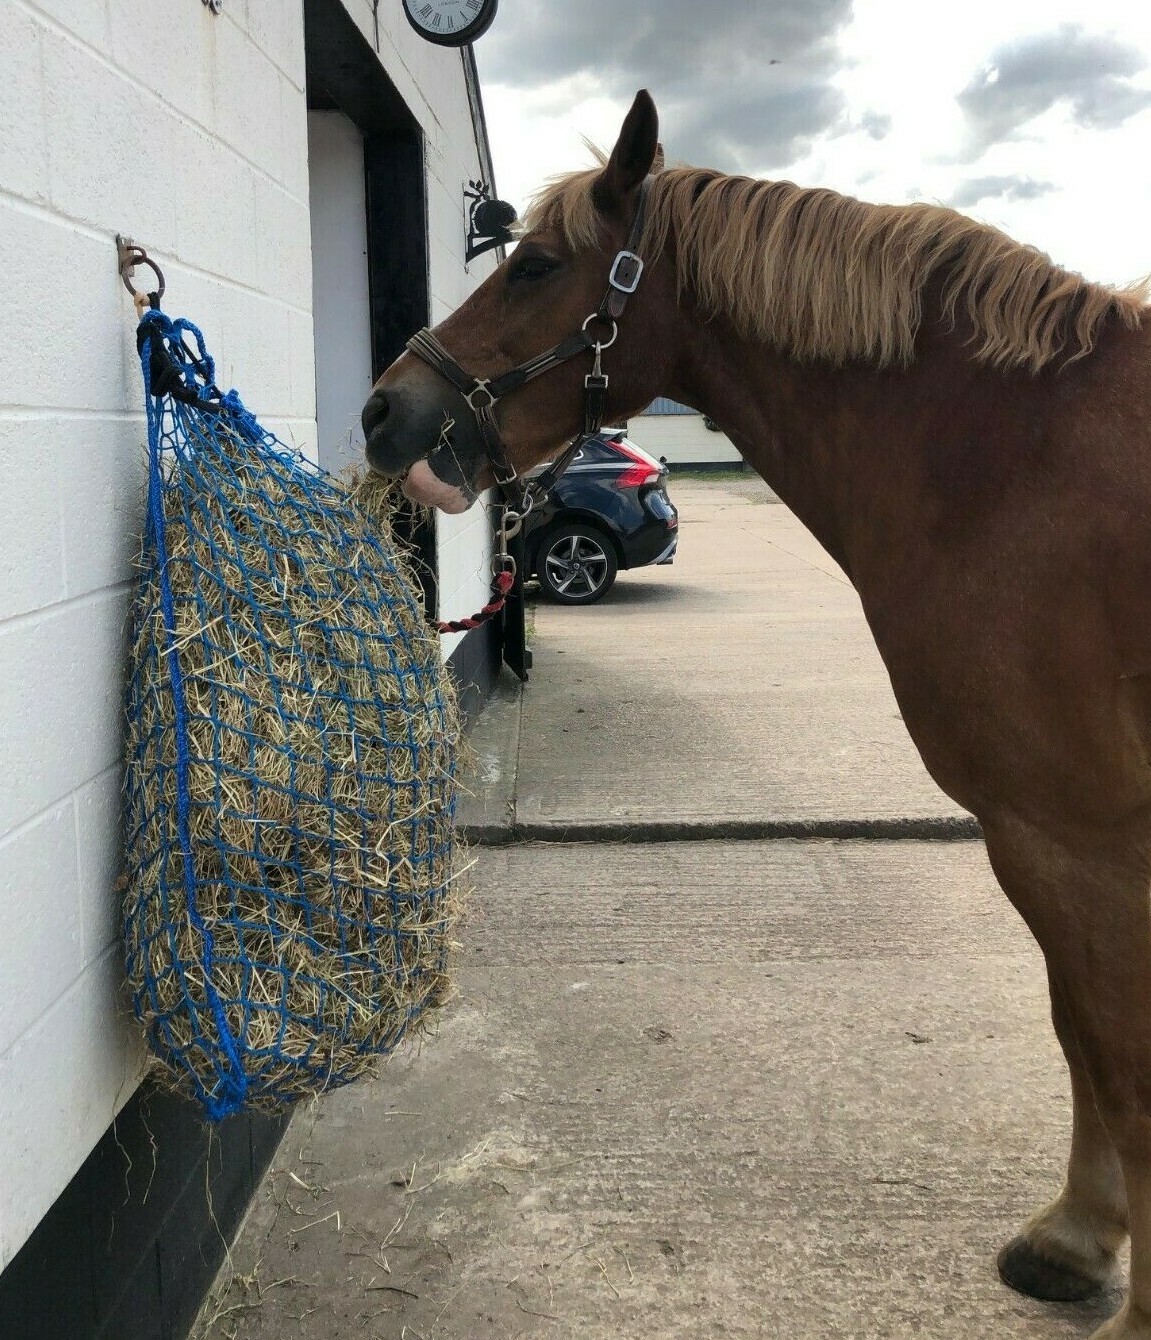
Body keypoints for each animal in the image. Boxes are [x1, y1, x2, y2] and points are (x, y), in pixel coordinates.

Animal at [362, 89, 1151, 1339]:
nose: (385, 406)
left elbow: (1117, 1054)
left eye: (533, 265)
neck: (1009, 462)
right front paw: (1073, 1238)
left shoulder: (1072, 833)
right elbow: (1086, 1036)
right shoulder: (1065, 839)